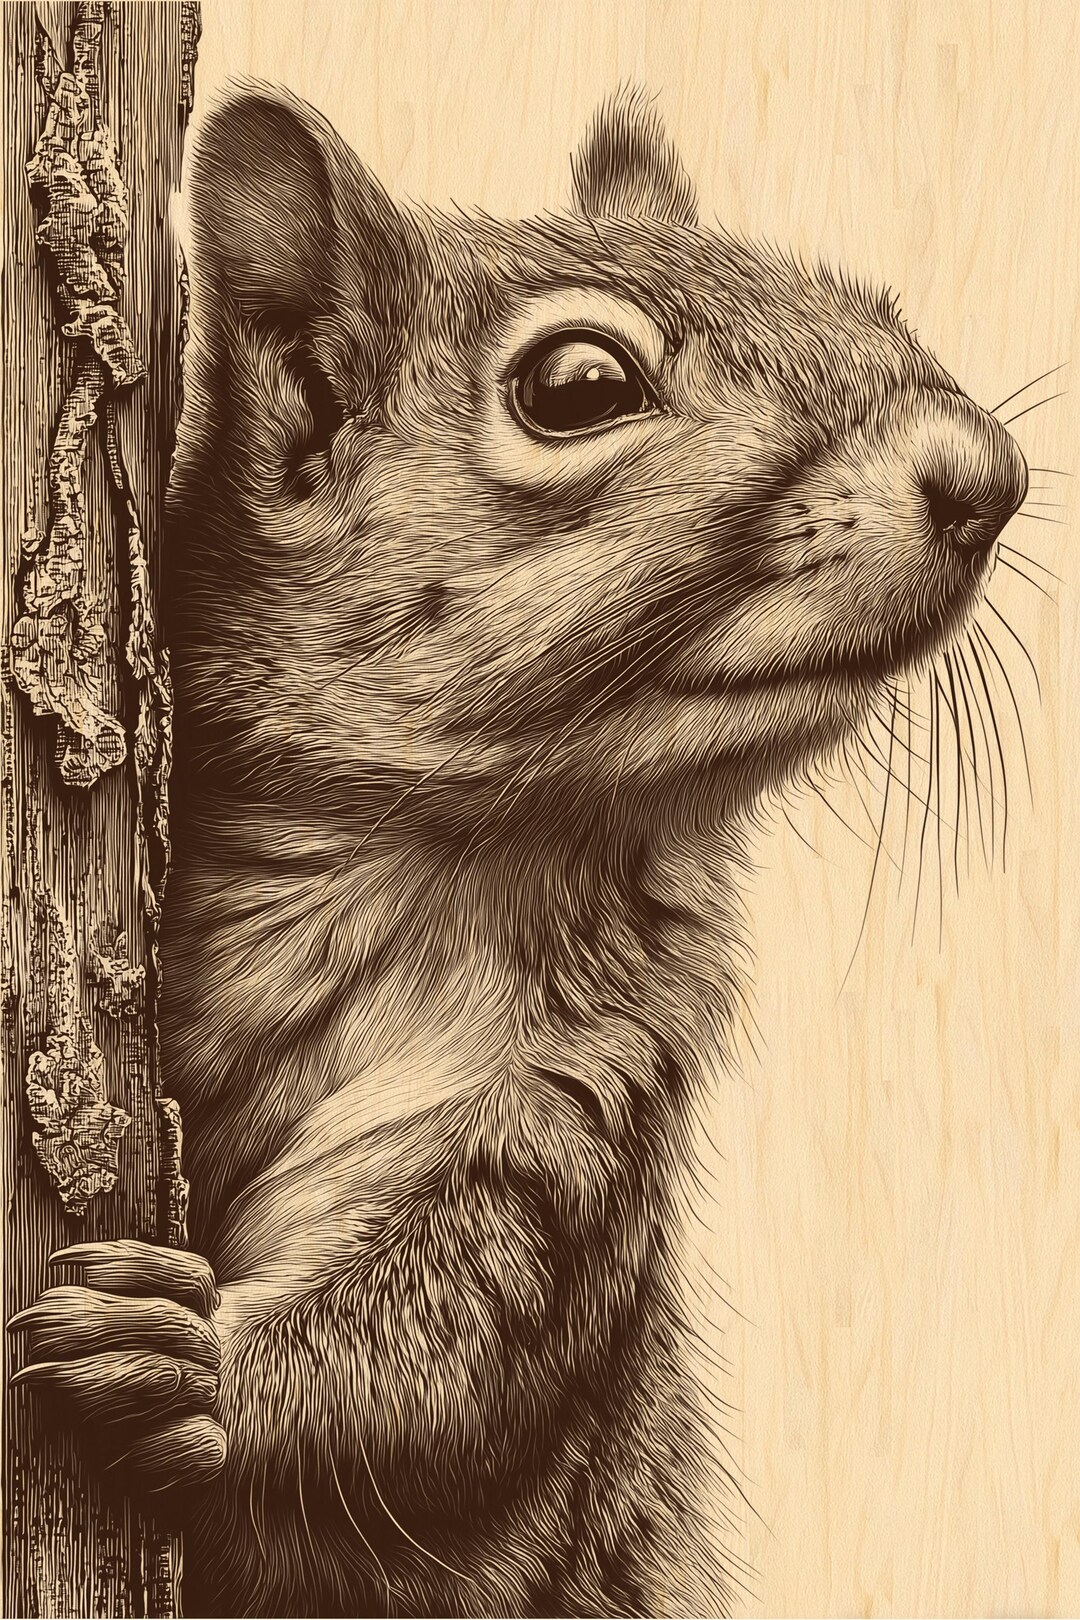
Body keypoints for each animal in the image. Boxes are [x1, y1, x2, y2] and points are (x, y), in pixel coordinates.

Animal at [10, 84, 1026, 1618]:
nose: (989, 476)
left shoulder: (571, 1105)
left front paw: (196, 1378)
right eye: (579, 387)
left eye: (876, 304)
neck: (451, 850)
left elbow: (448, 1362)